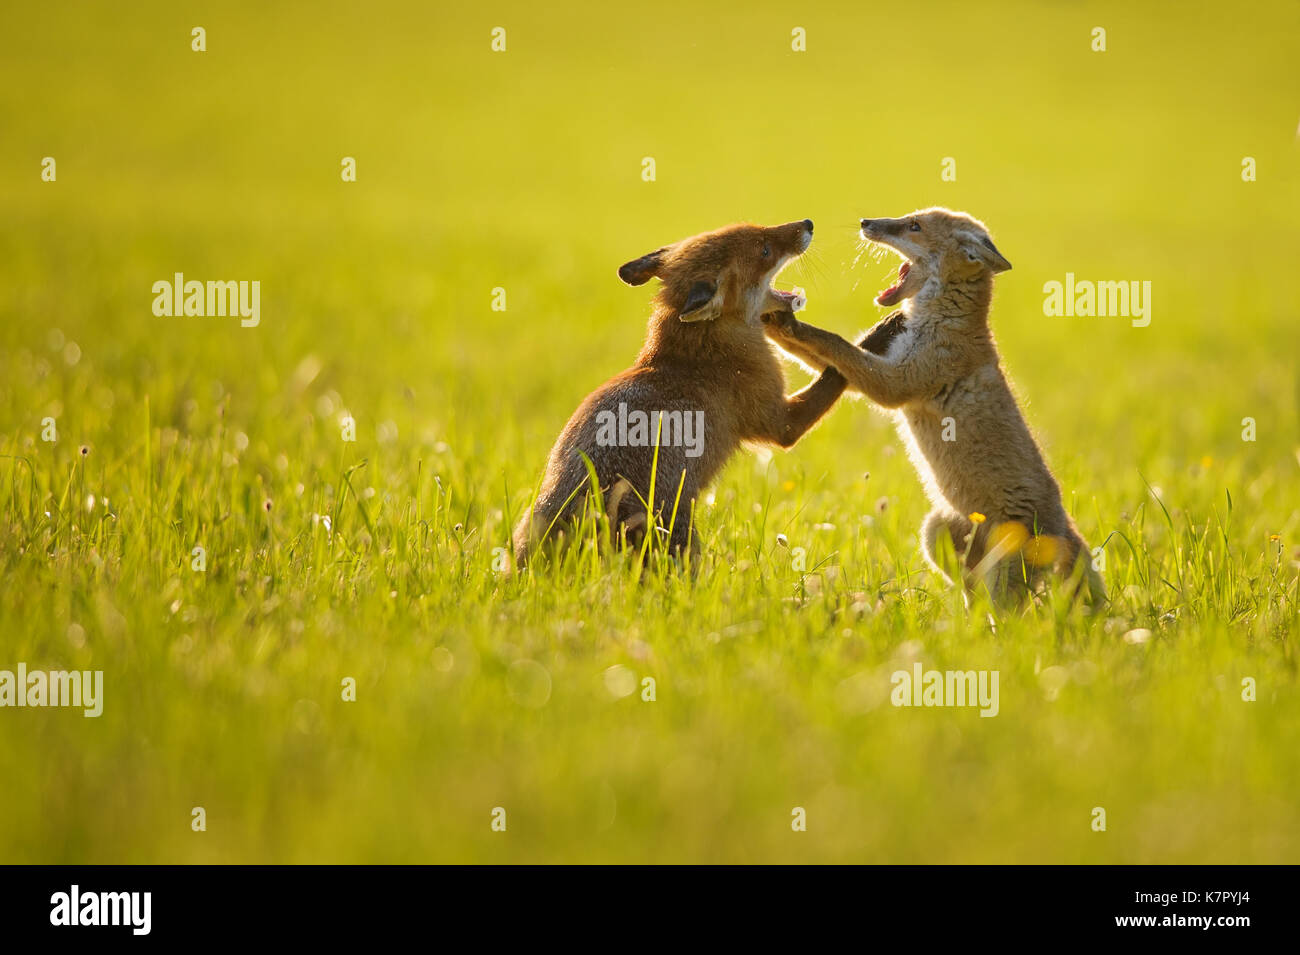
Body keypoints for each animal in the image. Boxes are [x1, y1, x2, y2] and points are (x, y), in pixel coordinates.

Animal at [513, 219, 848, 568]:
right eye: (765, 251)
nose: (807, 224)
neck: (700, 352)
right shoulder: (779, 423)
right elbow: (831, 381)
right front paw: (856, 353)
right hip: (682, 540)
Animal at [763, 207, 1105, 602]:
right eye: (908, 218)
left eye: (914, 227)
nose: (865, 222)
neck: (939, 322)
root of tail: (1065, 523)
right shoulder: (880, 365)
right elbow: (820, 352)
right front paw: (773, 320)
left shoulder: (896, 382)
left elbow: (835, 343)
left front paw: (789, 322)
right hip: (936, 530)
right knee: (973, 595)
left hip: (1002, 577)